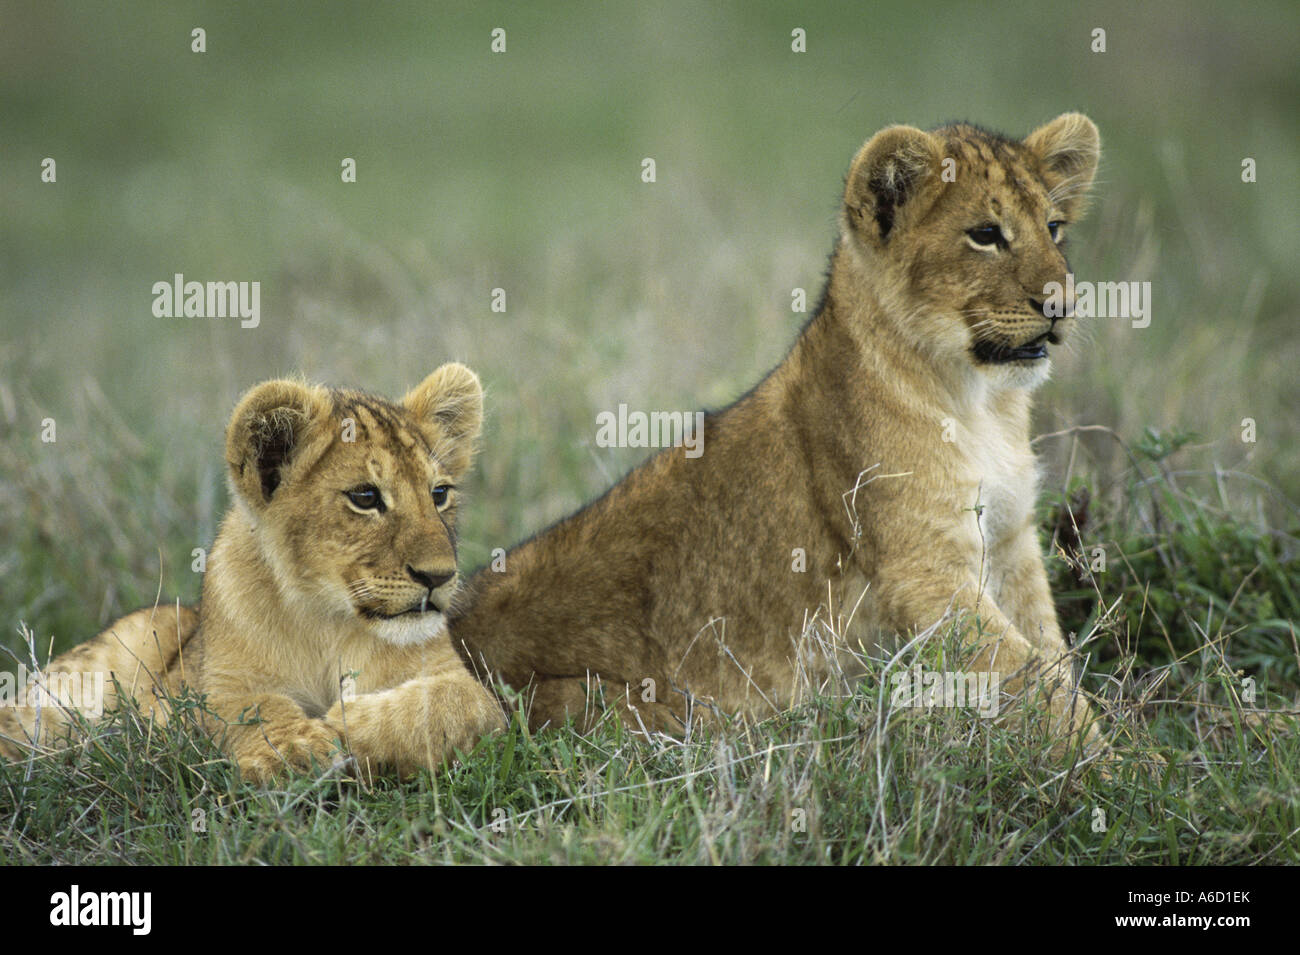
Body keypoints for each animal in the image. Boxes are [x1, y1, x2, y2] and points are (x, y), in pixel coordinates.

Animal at [0, 363, 506, 782]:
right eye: (365, 497)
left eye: (439, 494)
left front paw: (348, 718)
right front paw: (295, 749)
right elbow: (246, 707)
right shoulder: (204, 688)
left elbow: (448, 704)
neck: (326, 617)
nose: (439, 576)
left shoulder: (470, 681)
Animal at [450, 114, 1106, 755]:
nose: (1064, 303)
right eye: (985, 234)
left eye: (1054, 228)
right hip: (624, 709)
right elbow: (1032, 678)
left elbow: (1052, 654)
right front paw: (1113, 761)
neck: (981, 402)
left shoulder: (1012, 540)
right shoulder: (924, 568)